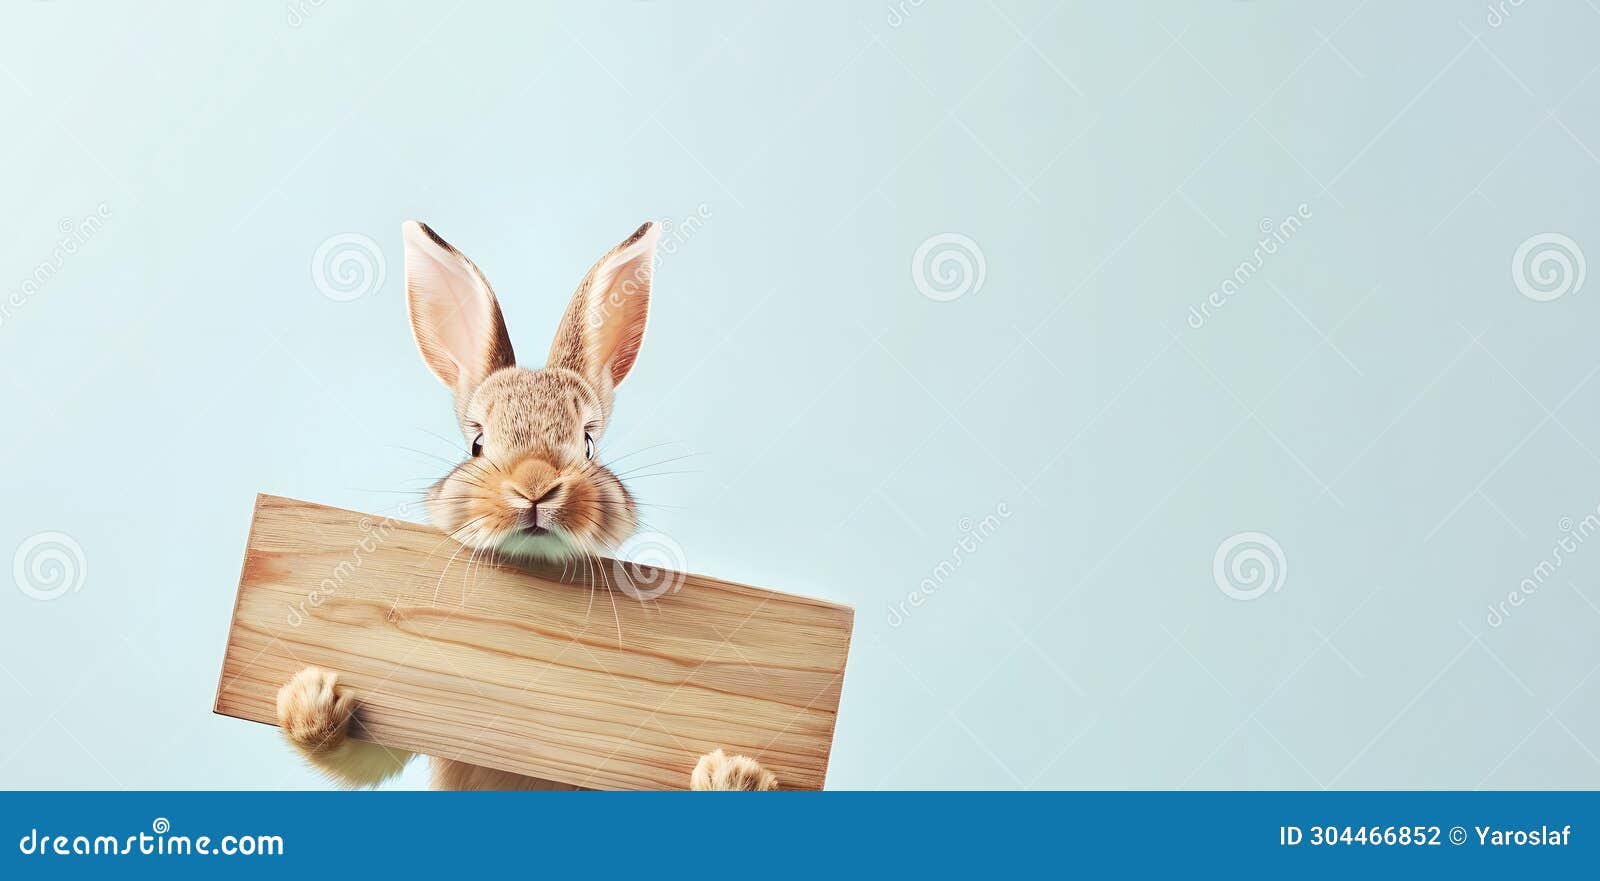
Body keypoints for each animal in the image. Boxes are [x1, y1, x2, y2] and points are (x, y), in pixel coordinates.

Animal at [274, 220, 778, 792]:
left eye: (588, 444)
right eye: (476, 444)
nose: (534, 486)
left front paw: (736, 774)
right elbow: (367, 757)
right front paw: (310, 700)